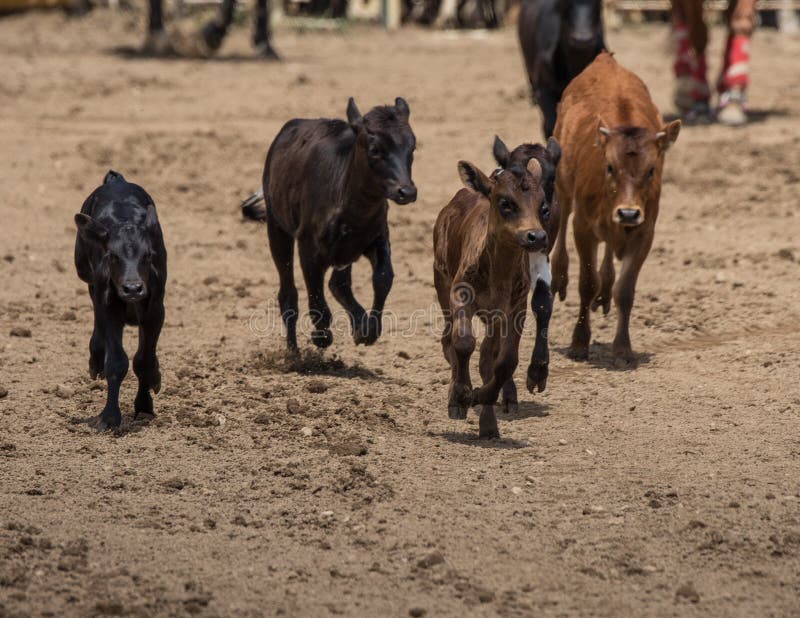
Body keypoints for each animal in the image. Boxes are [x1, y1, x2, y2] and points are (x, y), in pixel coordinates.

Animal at [74, 171, 167, 431]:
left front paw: (145, 405)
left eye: (148, 255)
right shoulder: (110, 306)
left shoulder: (155, 310)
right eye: (112, 256)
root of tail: (115, 180)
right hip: (84, 270)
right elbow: (116, 362)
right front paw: (109, 417)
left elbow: (143, 360)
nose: (133, 288)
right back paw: (96, 358)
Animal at [241, 97, 417, 351]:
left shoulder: (378, 237)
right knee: (288, 295)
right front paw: (321, 336)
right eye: (375, 149)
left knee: (337, 284)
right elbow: (317, 301)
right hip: (277, 229)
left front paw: (367, 330)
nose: (407, 192)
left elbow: (383, 277)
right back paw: (293, 353)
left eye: (412, 148)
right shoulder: (309, 250)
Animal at [433, 136, 561, 439]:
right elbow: (462, 342)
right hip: (441, 281)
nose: (536, 236)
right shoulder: (460, 293)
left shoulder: (513, 308)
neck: (498, 272)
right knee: (449, 340)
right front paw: (461, 395)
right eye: (506, 203)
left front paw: (482, 396)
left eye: (542, 205)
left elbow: (504, 360)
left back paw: (490, 421)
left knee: (488, 356)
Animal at [551, 52, 680, 366]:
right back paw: (559, 275)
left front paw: (622, 348)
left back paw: (605, 290)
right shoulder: (583, 228)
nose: (628, 213)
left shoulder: (644, 232)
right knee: (562, 216)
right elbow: (586, 283)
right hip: (562, 181)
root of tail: (604, 59)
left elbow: (626, 290)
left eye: (651, 170)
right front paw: (578, 343)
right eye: (609, 166)